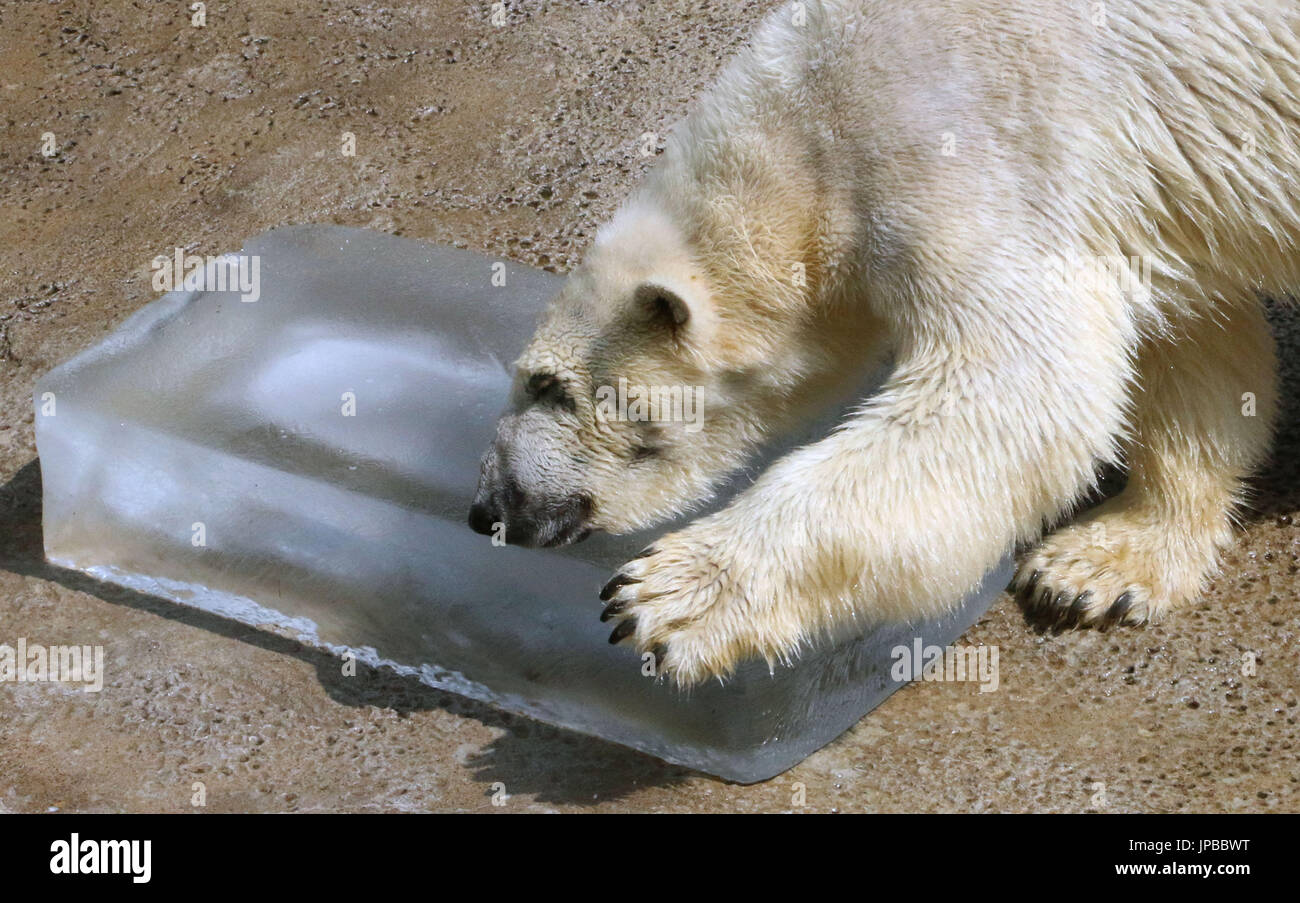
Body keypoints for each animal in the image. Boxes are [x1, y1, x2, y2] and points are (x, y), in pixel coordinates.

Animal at [470, 0, 1298, 687]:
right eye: (528, 378)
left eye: (549, 386)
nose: (490, 507)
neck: (816, 128)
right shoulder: (1149, 196)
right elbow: (1189, 346)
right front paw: (1099, 562)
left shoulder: (976, 155)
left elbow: (1017, 388)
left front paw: (667, 596)